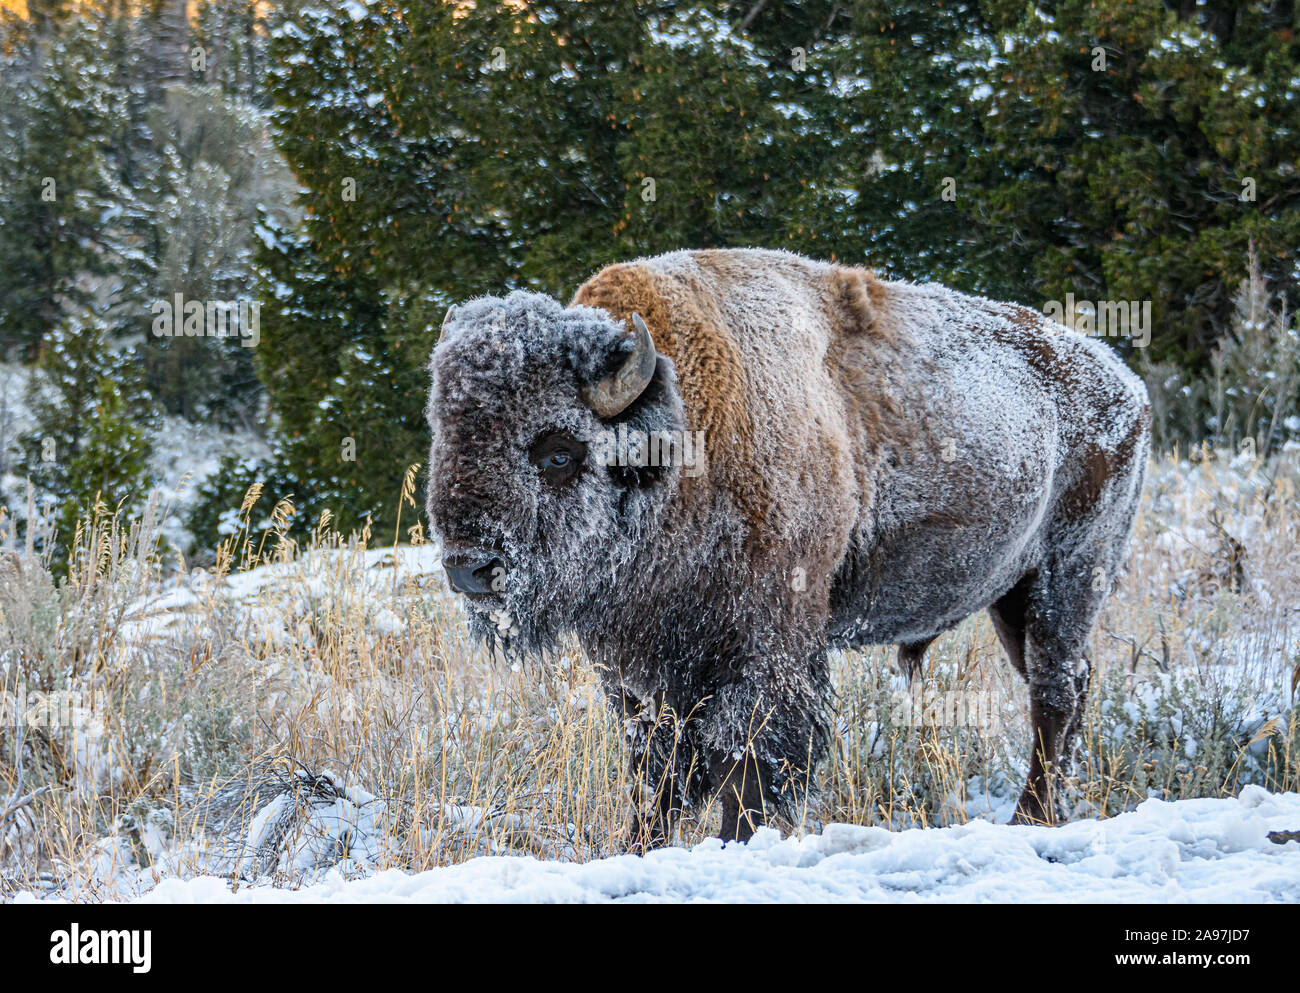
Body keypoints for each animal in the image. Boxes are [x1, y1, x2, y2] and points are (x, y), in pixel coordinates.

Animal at [426, 248, 1150, 846]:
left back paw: (1031, 817)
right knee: (1066, 686)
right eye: (445, 433)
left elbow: (750, 756)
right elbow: (657, 767)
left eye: (558, 451)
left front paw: (741, 842)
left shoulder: (768, 642)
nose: (471, 569)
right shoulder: (639, 664)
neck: (684, 436)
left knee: (1055, 691)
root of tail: (1126, 385)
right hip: (1011, 596)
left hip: (1069, 572)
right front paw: (638, 847)